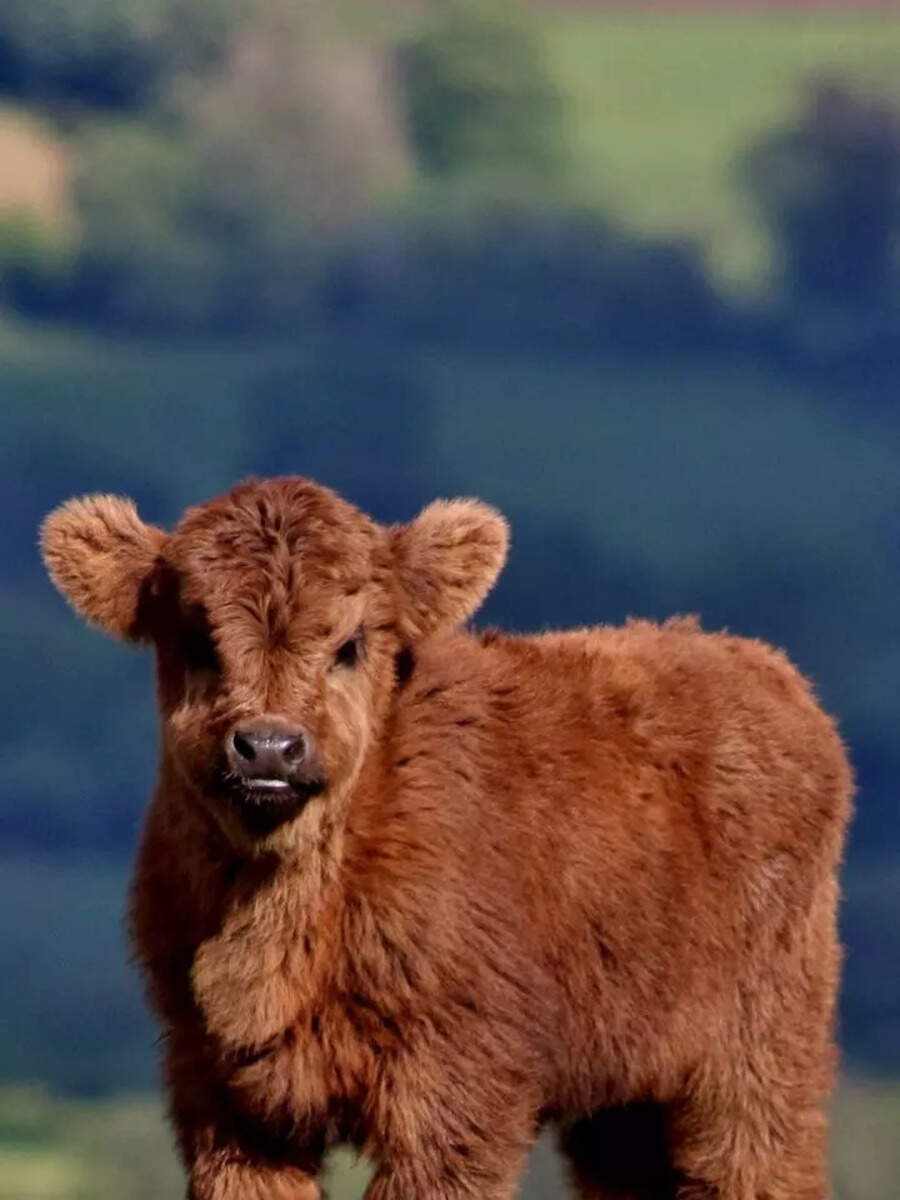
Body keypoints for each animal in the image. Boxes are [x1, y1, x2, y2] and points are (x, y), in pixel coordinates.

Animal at [41, 476, 852, 1200]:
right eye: (196, 640)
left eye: (351, 644)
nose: (269, 747)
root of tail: (769, 672)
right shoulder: (221, 1096)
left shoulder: (459, 1090)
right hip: (625, 1100)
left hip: (756, 1064)